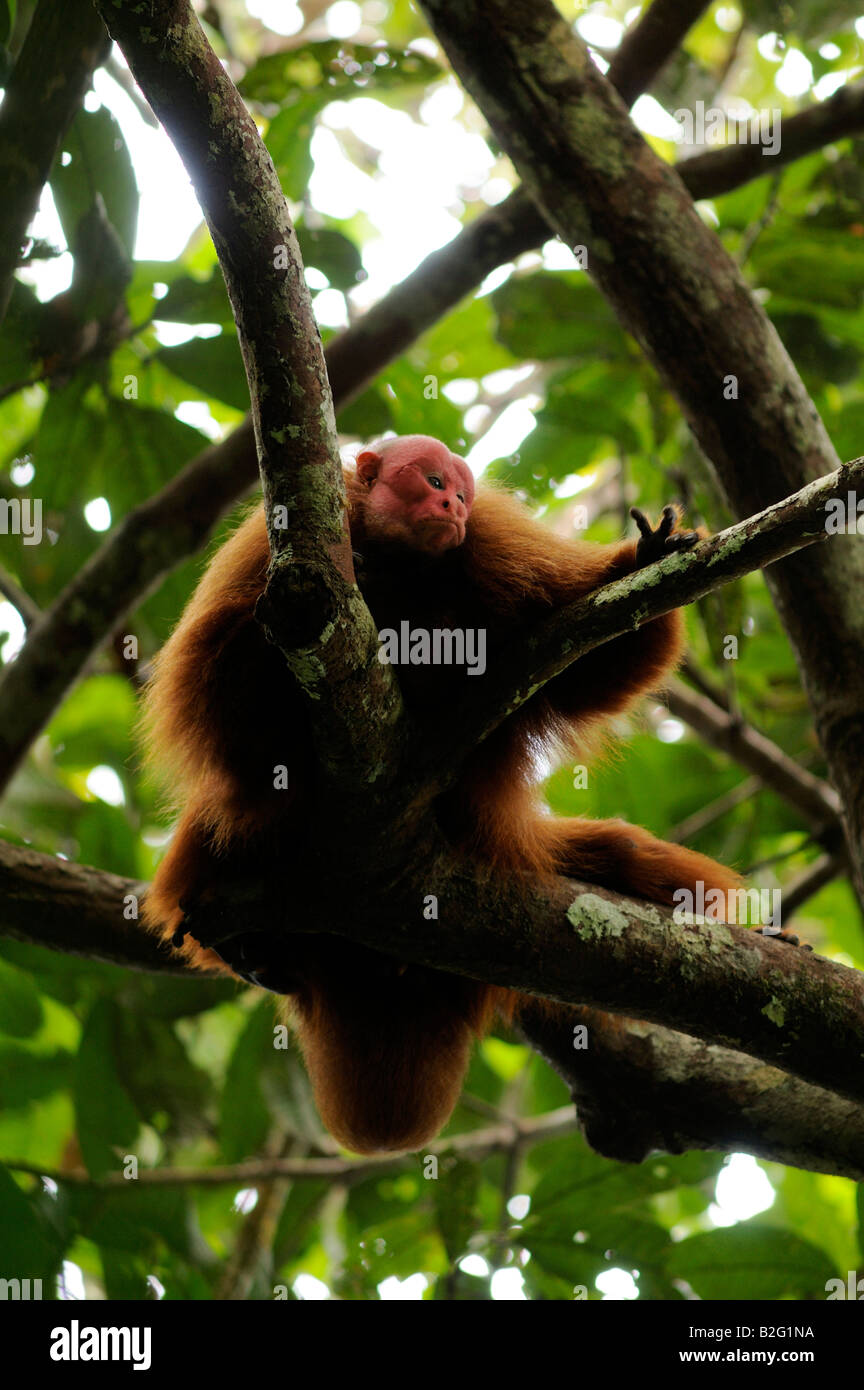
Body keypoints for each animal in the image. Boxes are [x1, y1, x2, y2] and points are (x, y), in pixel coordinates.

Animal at [142, 433, 754, 1155]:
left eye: (462, 493)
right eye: (432, 482)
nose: (450, 505)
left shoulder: (495, 544)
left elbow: (605, 665)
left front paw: (646, 557)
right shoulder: (273, 559)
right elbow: (216, 700)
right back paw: (254, 945)